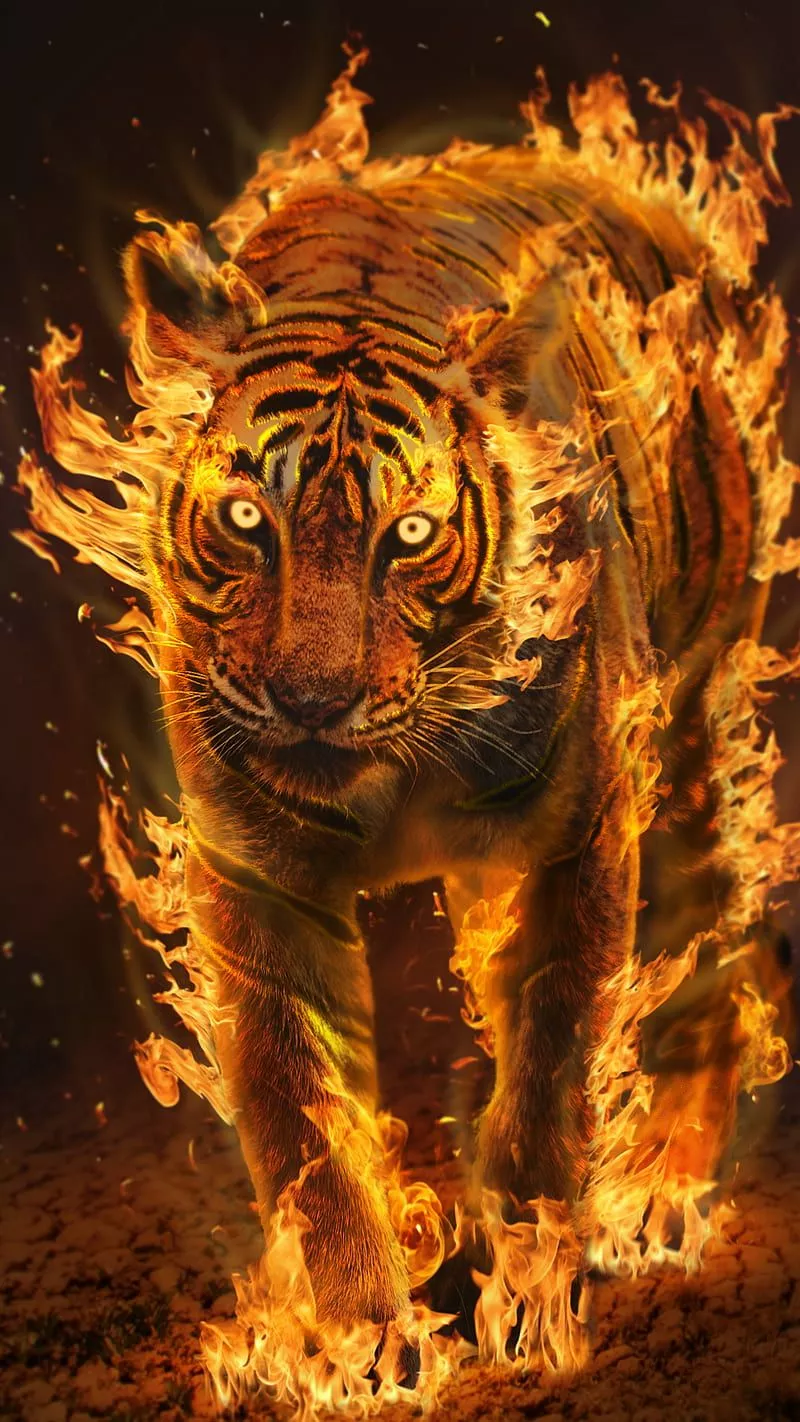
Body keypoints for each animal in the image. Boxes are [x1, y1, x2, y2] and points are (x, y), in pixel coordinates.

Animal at [20, 53, 797, 1385]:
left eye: (413, 533)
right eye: (247, 519)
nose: (311, 701)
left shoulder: (571, 843)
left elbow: (547, 1081)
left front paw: (527, 1293)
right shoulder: (256, 879)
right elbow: (305, 1119)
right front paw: (357, 1338)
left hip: (695, 720)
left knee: (718, 937)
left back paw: (657, 1191)